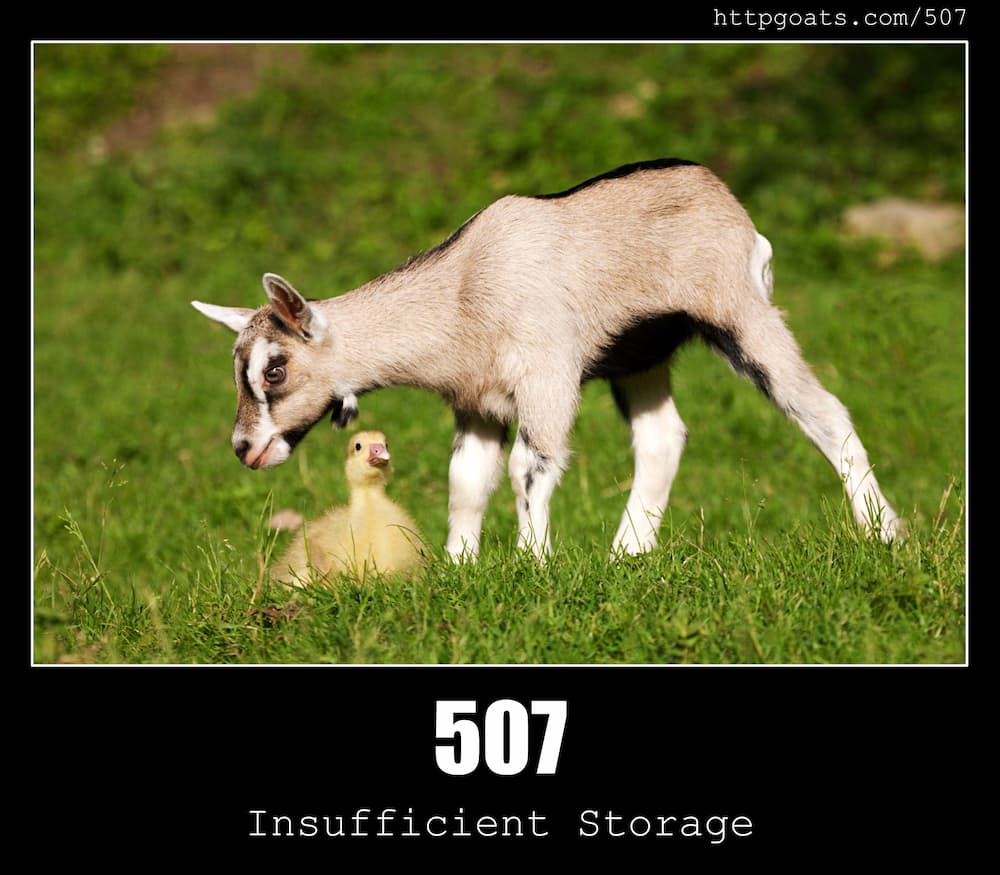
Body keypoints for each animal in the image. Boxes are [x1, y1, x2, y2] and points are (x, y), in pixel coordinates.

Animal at [193, 158, 901, 560]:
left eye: (275, 368)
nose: (244, 449)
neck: (463, 291)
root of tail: (728, 201)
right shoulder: (476, 403)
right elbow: (467, 481)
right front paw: (459, 570)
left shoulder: (546, 379)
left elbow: (527, 471)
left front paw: (535, 569)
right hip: (637, 358)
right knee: (662, 438)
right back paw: (627, 556)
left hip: (741, 312)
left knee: (824, 411)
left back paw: (885, 535)